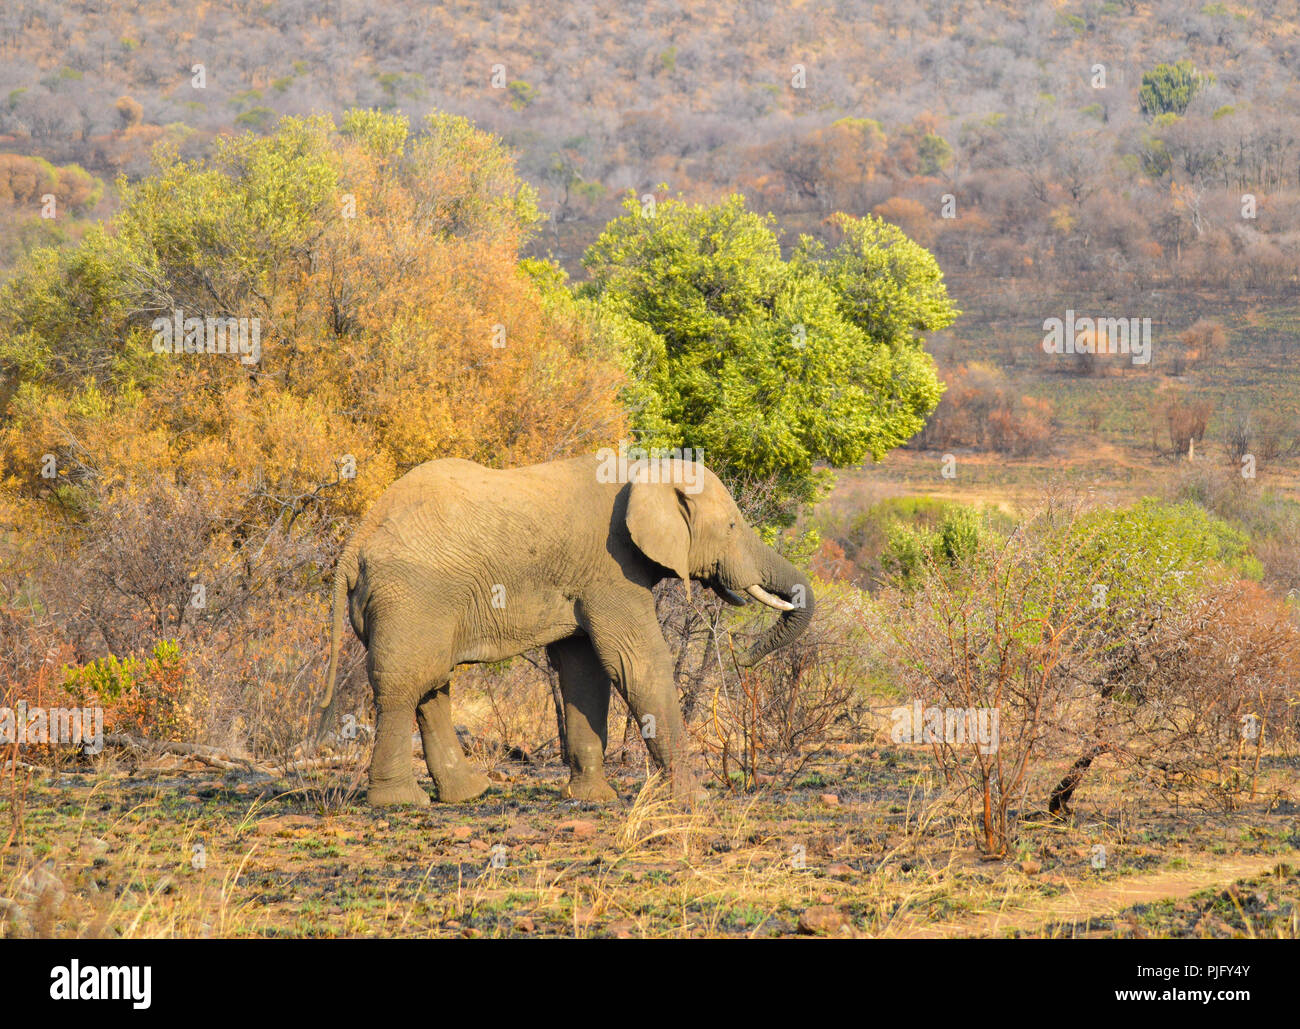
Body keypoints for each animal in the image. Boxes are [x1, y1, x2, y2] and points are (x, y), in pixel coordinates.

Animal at [317, 452, 815, 806]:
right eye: (731, 525)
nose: (742, 655)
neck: (644, 469)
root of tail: (355, 543)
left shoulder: (588, 579)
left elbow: (585, 671)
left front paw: (593, 798)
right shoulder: (612, 568)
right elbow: (636, 663)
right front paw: (694, 799)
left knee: (432, 683)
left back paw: (468, 794)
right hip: (411, 593)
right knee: (405, 685)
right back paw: (399, 802)